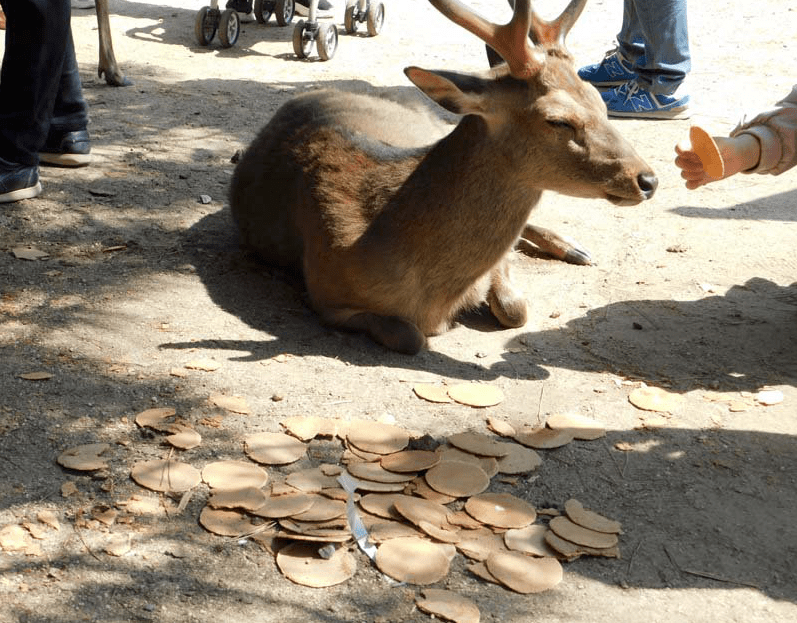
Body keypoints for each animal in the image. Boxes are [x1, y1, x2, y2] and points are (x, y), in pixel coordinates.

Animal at [229, 0, 658, 355]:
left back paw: (573, 248)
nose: (648, 179)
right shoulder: (325, 292)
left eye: (601, 101)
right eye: (557, 120)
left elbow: (515, 308)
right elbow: (411, 337)